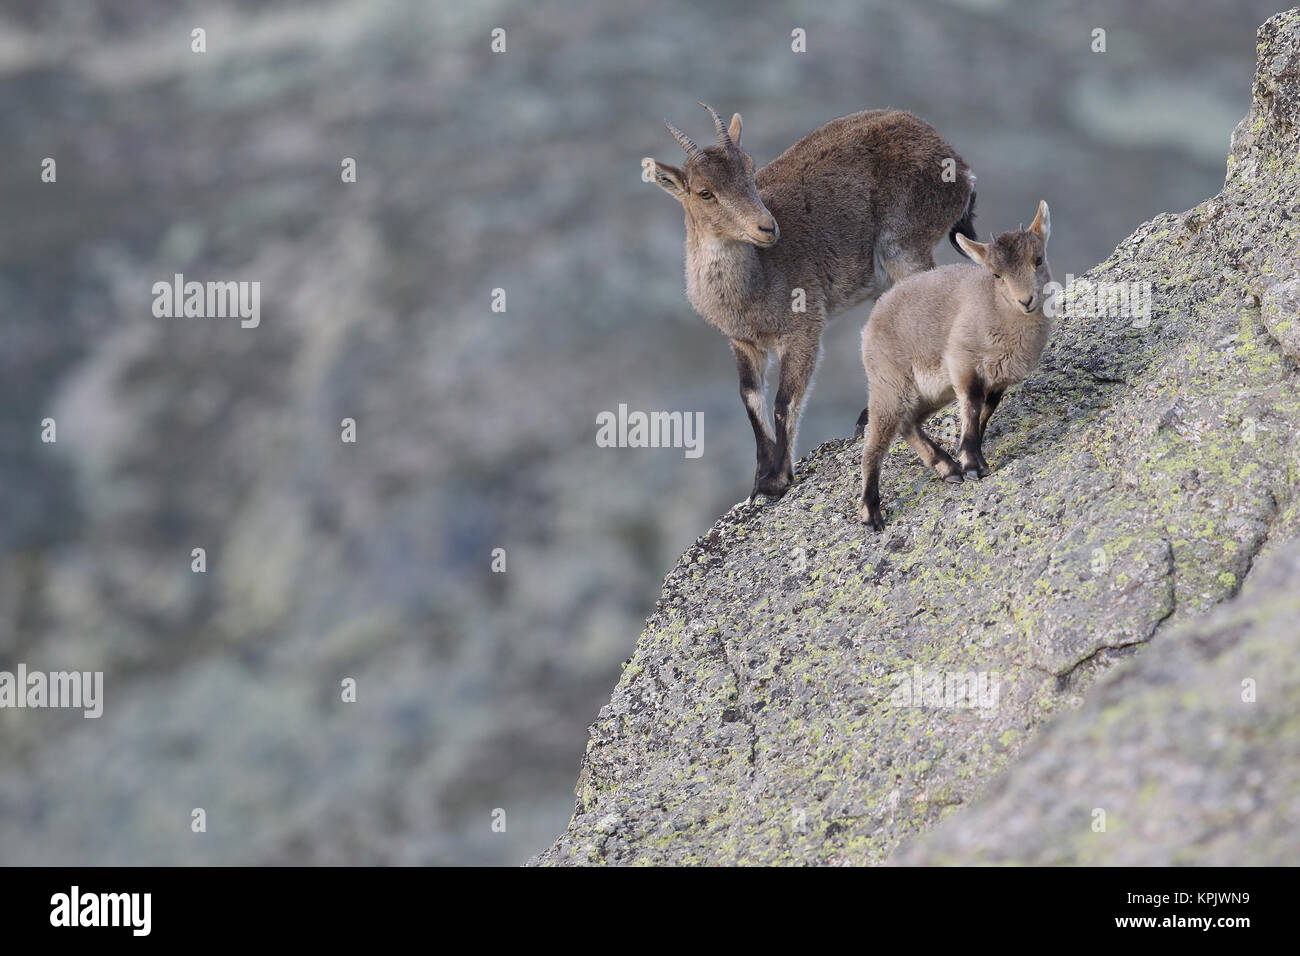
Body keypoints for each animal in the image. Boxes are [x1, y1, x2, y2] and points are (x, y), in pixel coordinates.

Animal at [644, 104, 976, 500]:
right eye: (704, 192)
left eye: (750, 170)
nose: (766, 228)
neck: (755, 279)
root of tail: (957, 163)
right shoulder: (742, 342)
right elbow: (750, 398)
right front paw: (759, 479)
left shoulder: (802, 329)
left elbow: (784, 401)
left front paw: (778, 478)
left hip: (904, 246)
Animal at [855, 201, 1053, 530]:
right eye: (996, 274)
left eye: (1037, 259)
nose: (1026, 300)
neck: (996, 312)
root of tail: (871, 321)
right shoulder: (963, 363)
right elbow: (971, 405)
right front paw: (973, 464)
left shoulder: (998, 378)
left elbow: (986, 410)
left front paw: (972, 457)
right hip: (889, 383)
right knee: (876, 438)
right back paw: (871, 512)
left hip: (929, 392)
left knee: (907, 424)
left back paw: (947, 468)